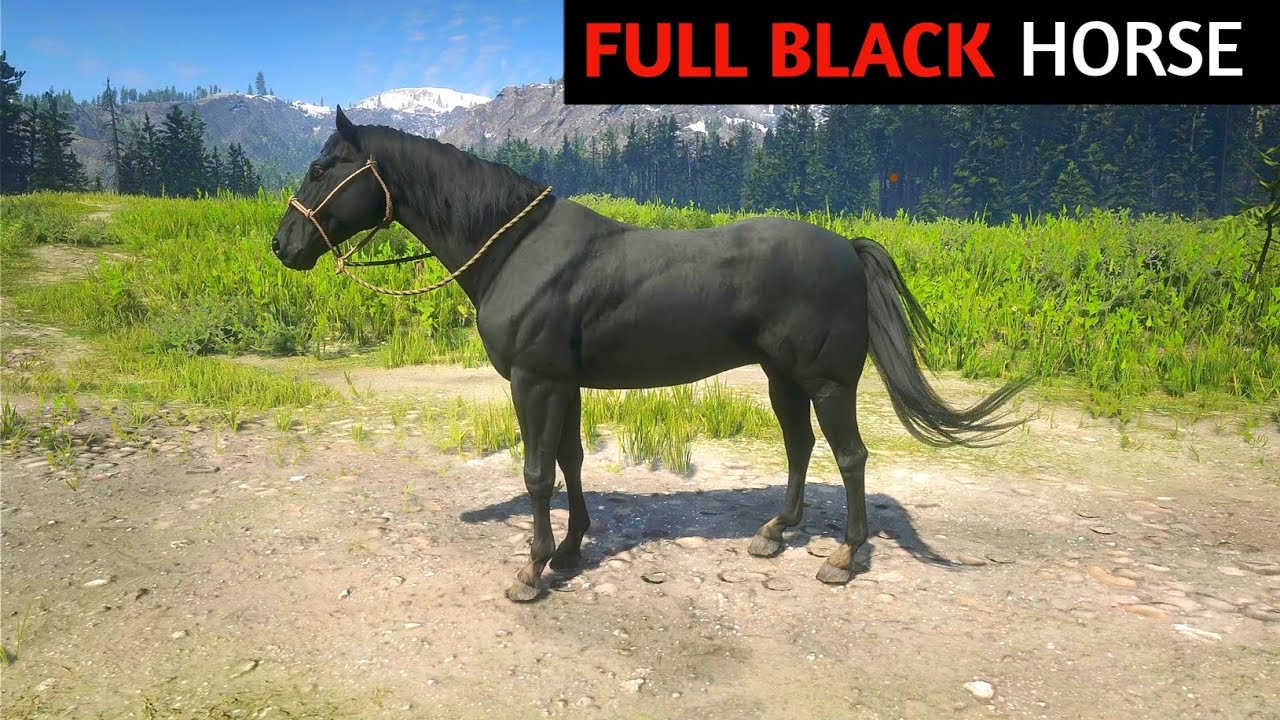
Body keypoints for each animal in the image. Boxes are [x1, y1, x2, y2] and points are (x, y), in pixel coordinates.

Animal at [271, 106, 1033, 603]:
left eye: (322, 167)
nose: (284, 245)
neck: (517, 250)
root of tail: (845, 246)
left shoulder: (534, 382)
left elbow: (538, 473)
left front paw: (533, 570)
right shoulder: (564, 384)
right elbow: (572, 462)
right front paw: (572, 549)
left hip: (825, 381)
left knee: (850, 458)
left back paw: (845, 556)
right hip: (782, 378)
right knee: (799, 448)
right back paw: (774, 533)